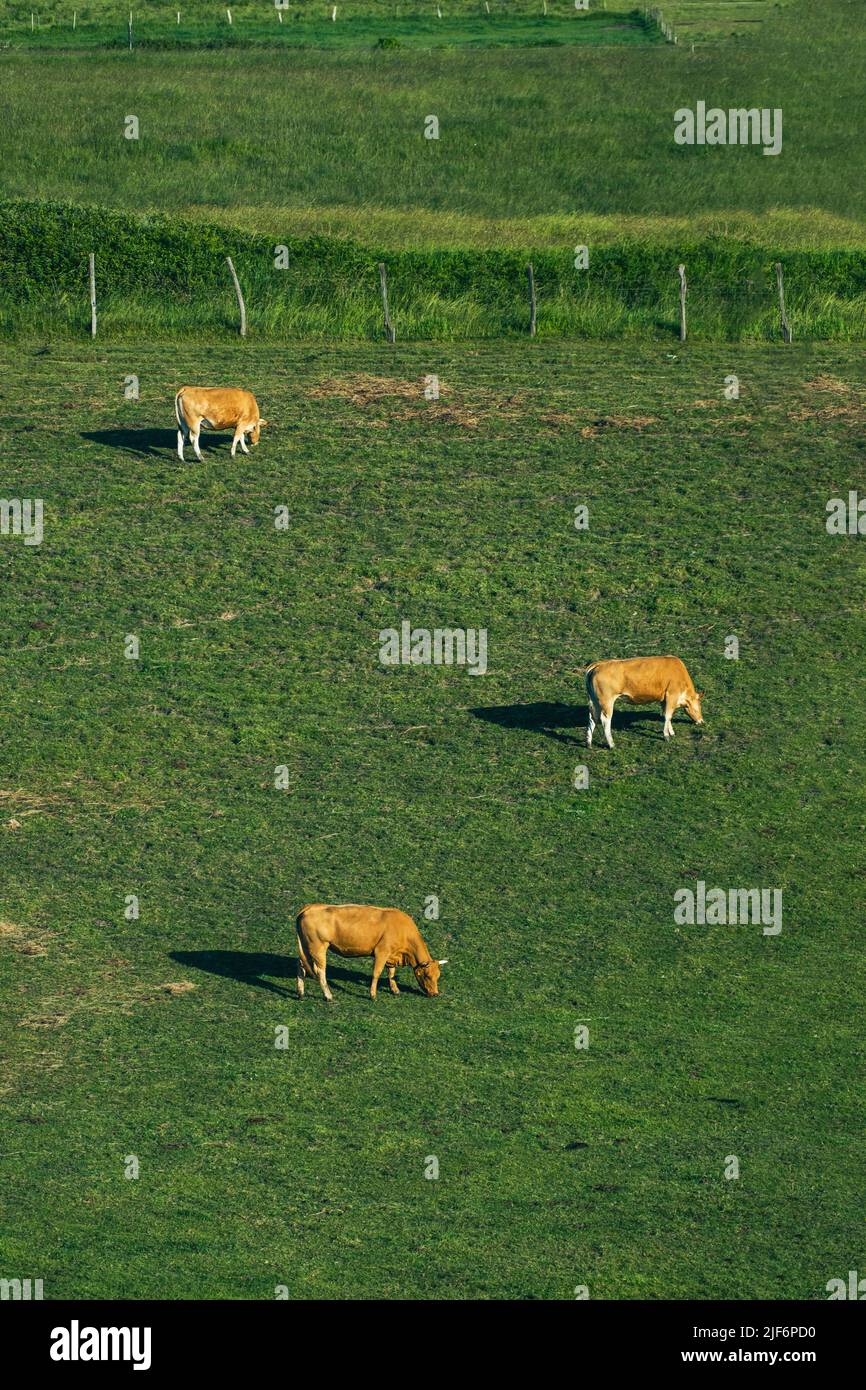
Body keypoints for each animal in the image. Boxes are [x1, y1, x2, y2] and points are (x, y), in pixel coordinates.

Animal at [295, 903, 448, 1003]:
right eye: (427, 976)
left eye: (438, 976)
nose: (435, 994)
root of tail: (310, 907)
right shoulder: (382, 951)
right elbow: (377, 973)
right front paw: (373, 995)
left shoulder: (392, 955)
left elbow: (391, 973)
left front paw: (395, 990)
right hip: (318, 947)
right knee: (320, 971)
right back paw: (328, 996)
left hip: (306, 947)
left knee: (301, 966)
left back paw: (300, 993)